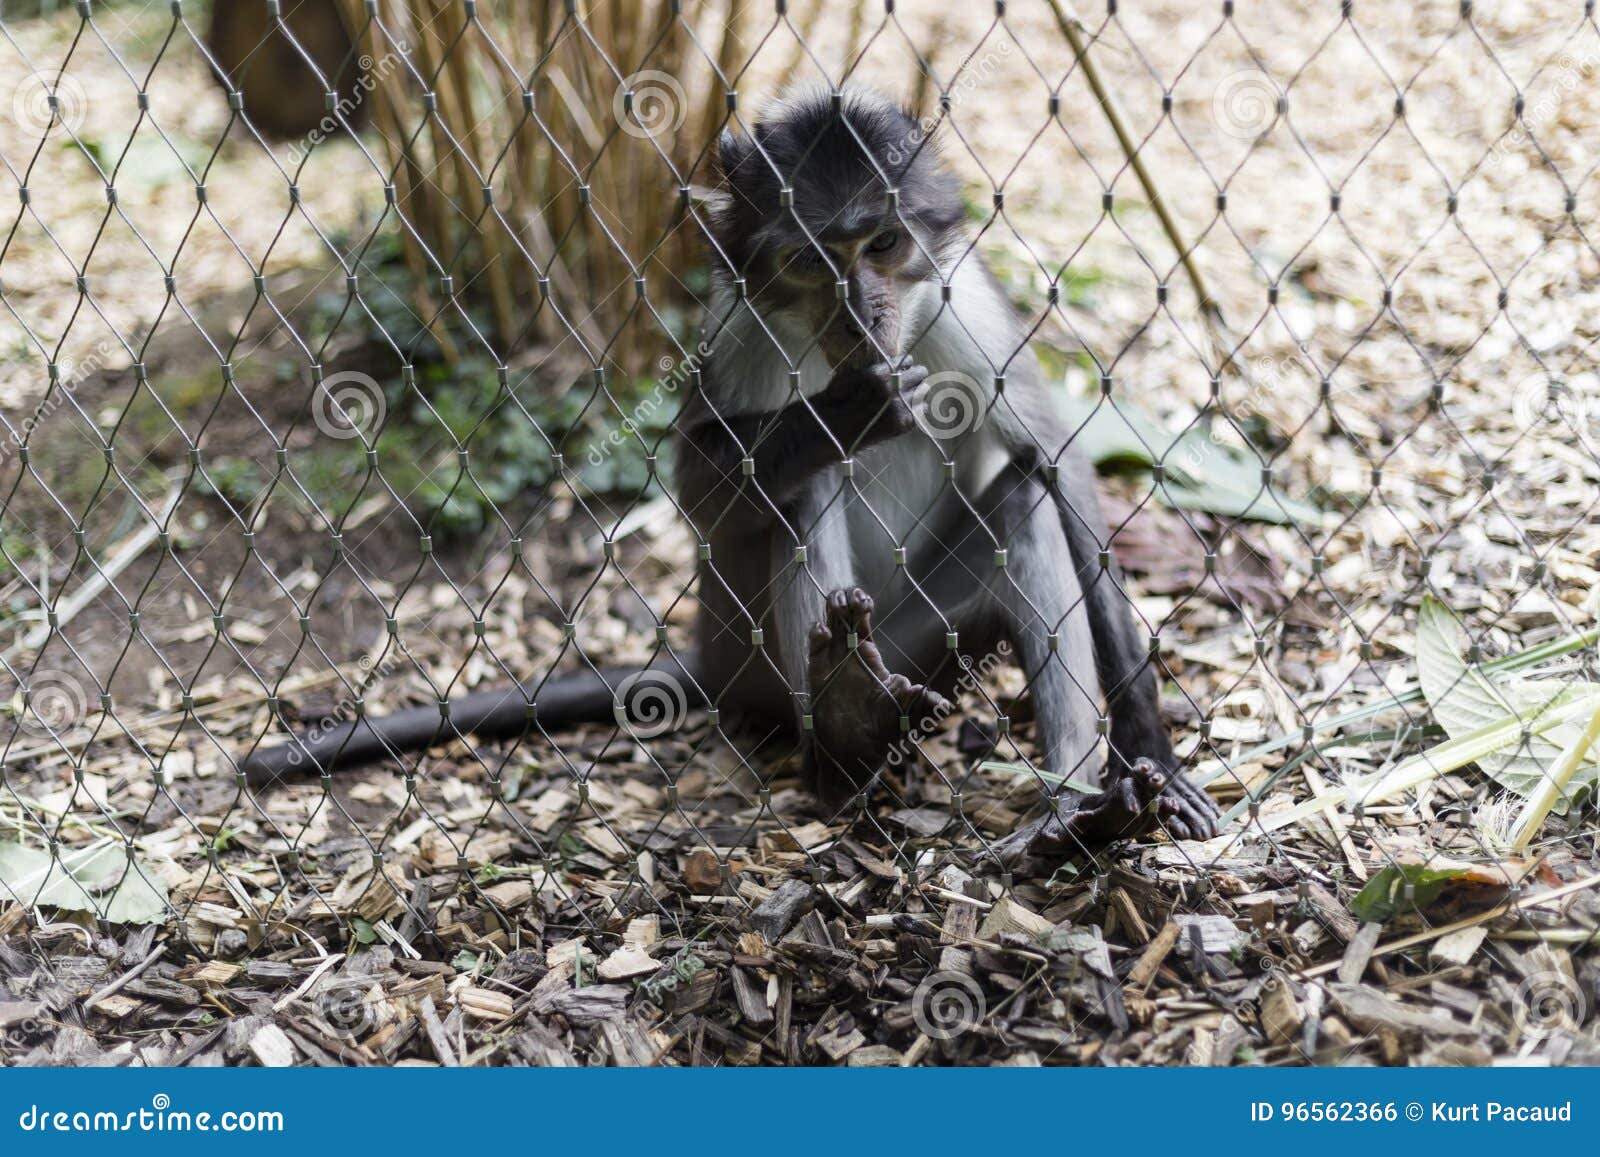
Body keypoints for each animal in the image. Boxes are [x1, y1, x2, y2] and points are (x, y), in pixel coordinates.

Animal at [240, 87, 1217, 857]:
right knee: (802, 491)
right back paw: (846, 729)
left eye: (883, 245)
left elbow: (1056, 466)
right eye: (813, 259)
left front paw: (1151, 755)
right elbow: (703, 487)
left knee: (1015, 494)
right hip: (780, 664)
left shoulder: (961, 301)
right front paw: (847, 413)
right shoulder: (740, 323)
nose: (859, 315)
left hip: (926, 645)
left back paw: (1075, 809)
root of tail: (717, 661)